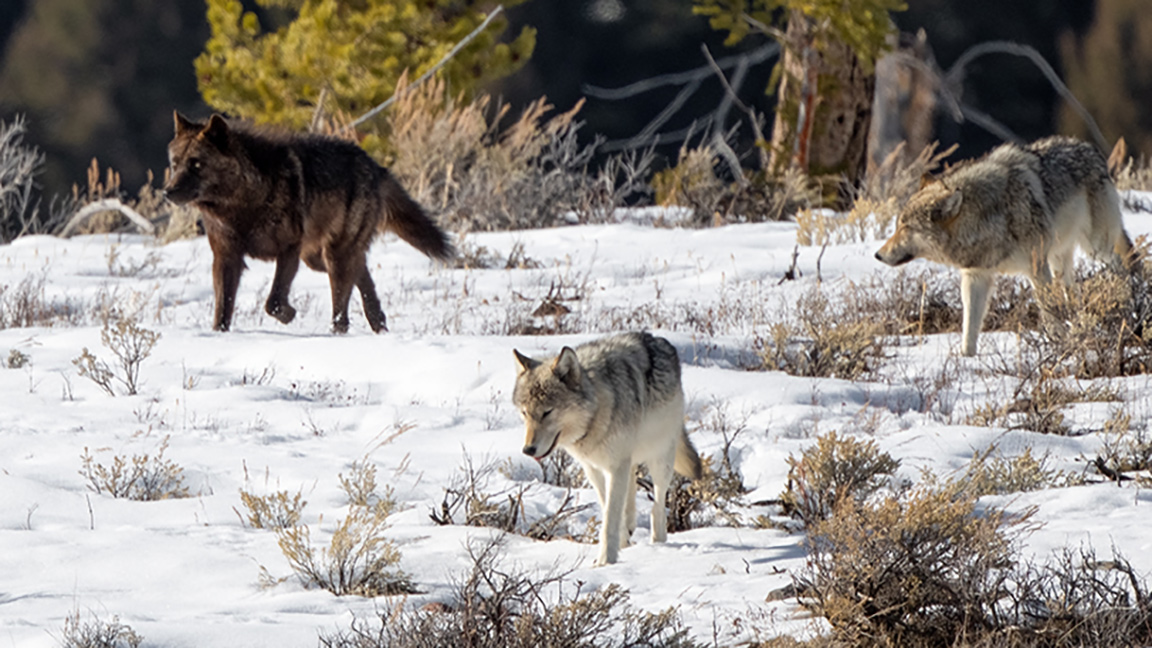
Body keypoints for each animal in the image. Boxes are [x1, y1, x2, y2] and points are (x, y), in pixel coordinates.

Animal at [164, 112, 452, 334]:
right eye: (175, 164)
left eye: (196, 164)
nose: (167, 192)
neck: (243, 203)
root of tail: (375, 166)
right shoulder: (226, 257)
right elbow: (223, 309)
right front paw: (219, 336)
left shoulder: (289, 251)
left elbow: (273, 302)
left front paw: (289, 314)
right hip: (318, 259)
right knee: (361, 272)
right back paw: (378, 322)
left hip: (332, 257)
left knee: (342, 310)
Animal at [512, 332, 703, 565]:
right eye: (524, 413)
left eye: (547, 412)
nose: (528, 450)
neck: (597, 411)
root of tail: (658, 339)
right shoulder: (593, 468)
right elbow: (608, 509)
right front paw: (619, 543)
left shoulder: (615, 465)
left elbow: (610, 517)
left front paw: (605, 560)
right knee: (631, 491)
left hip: (660, 459)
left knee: (657, 506)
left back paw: (658, 544)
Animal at [875, 135, 1135, 356]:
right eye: (897, 225)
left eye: (905, 227)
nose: (878, 255)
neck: (986, 218)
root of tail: (1091, 149)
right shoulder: (975, 276)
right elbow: (970, 326)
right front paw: (966, 358)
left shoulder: (1036, 268)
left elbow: (1049, 312)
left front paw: (1060, 345)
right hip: (1059, 261)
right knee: (1074, 294)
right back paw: (1083, 325)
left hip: (1096, 248)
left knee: (1122, 267)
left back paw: (1130, 301)